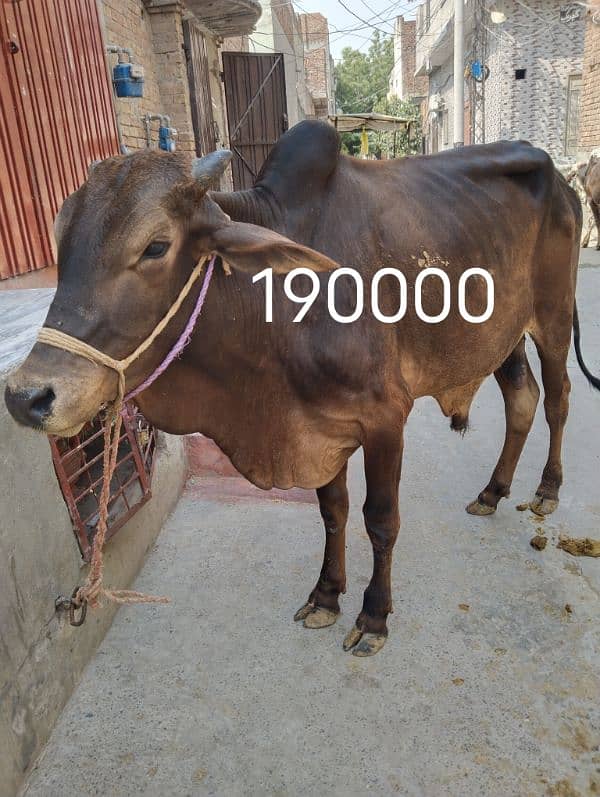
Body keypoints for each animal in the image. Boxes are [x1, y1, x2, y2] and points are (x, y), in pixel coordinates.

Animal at [5, 121, 599, 656]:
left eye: (155, 246)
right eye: (60, 239)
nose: (27, 397)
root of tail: (561, 178)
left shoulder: (386, 418)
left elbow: (380, 520)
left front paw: (374, 616)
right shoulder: (318, 424)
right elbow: (332, 511)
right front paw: (326, 596)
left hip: (550, 320)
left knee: (559, 400)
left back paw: (546, 490)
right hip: (500, 336)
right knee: (522, 399)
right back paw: (492, 491)